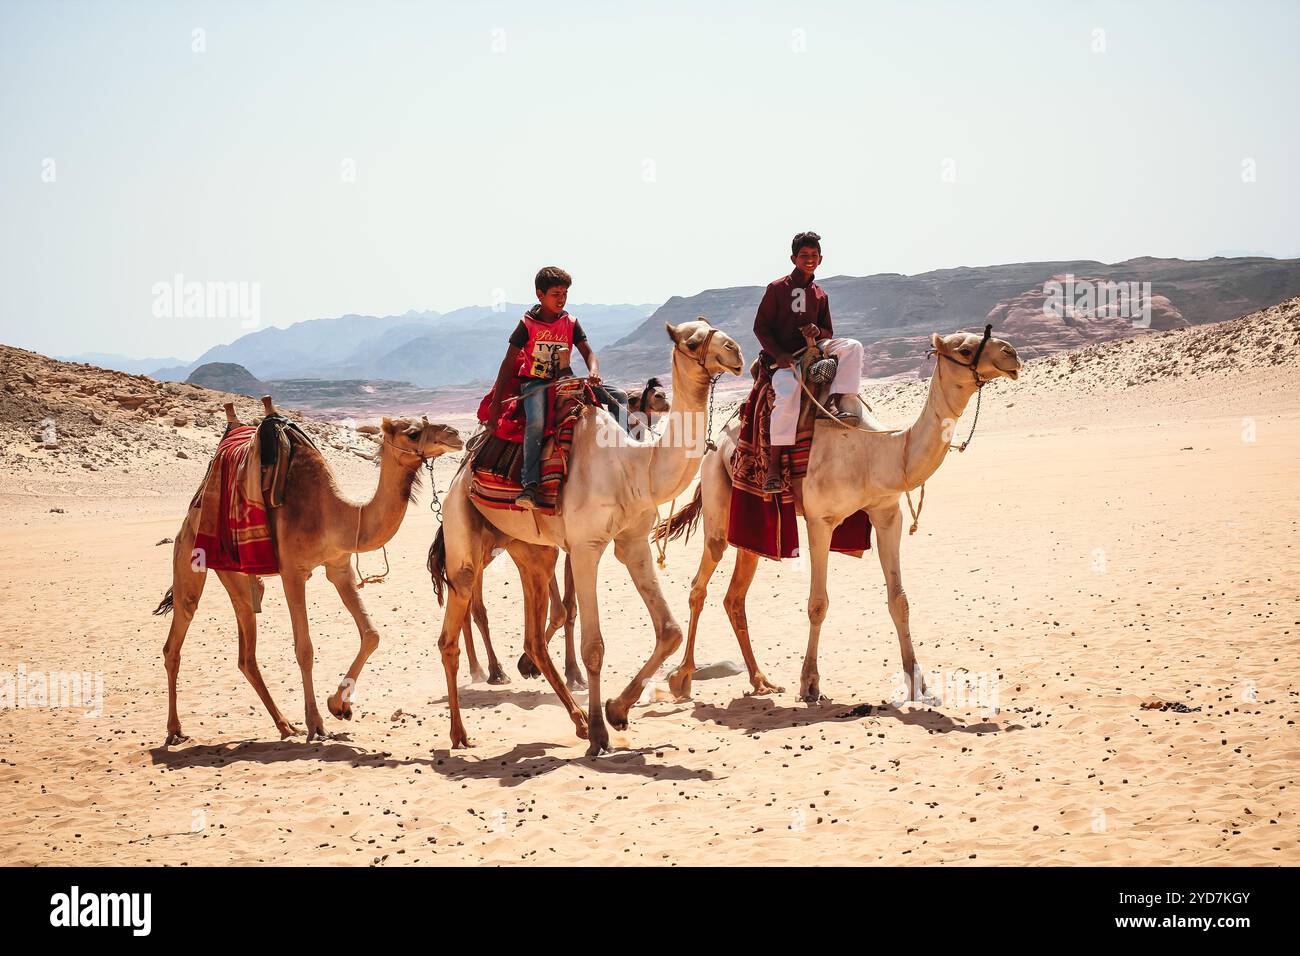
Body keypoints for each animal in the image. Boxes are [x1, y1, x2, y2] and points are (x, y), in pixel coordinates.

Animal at [153, 414, 463, 745]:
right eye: (414, 433)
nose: (456, 434)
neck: (334, 513)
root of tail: (191, 511)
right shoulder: (293, 573)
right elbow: (304, 649)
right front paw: (316, 723)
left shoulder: (339, 566)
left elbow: (371, 634)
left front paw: (339, 706)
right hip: (192, 555)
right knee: (177, 635)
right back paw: (174, 730)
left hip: (239, 577)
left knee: (245, 654)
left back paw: (285, 725)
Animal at [429, 318, 744, 755]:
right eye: (693, 341)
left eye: (715, 329)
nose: (735, 351)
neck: (634, 467)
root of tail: (462, 473)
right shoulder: (585, 548)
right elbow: (593, 646)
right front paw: (600, 732)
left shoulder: (633, 543)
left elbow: (670, 631)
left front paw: (616, 710)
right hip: (464, 535)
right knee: (450, 634)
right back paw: (461, 733)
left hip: (531, 550)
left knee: (534, 637)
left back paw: (573, 718)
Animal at [659, 329, 1022, 704]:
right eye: (964, 349)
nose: (1011, 354)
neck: (879, 453)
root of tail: (716, 444)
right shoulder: (821, 520)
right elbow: (818, 603)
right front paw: (810, 684)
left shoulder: (886, 513)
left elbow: (899, 600)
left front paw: (917, 682)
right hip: (718, 500)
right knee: (700, 583)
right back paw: (682, 679)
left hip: (750, 527)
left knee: (735, 595)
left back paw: (761, 681)